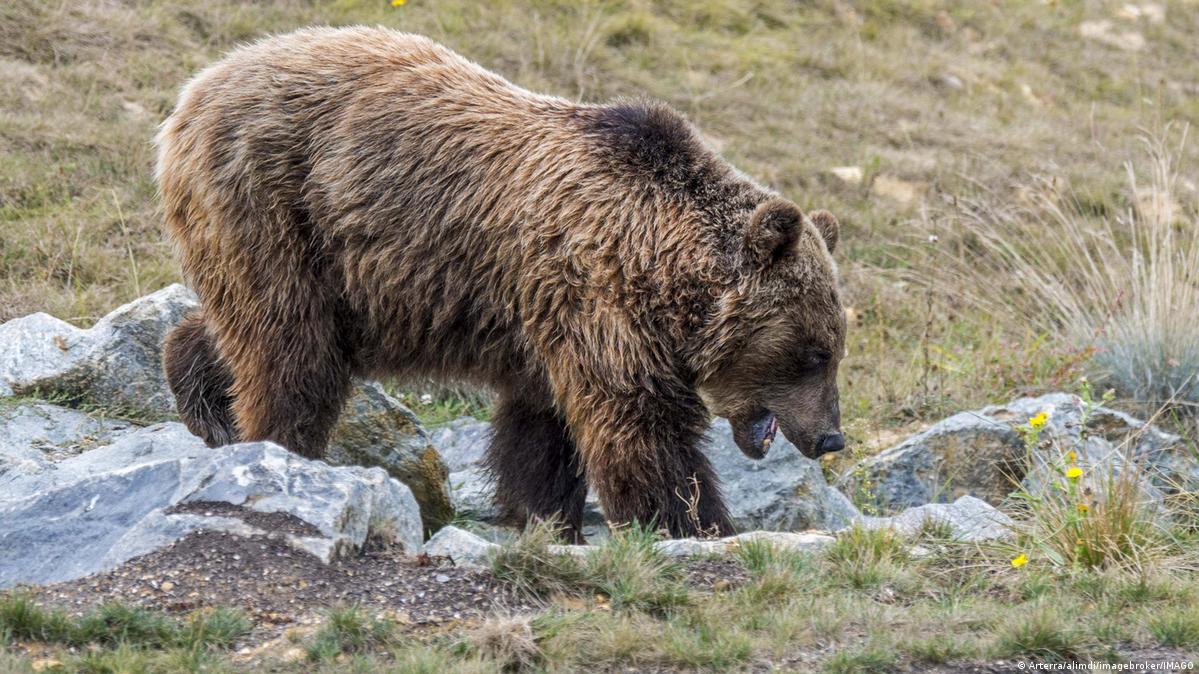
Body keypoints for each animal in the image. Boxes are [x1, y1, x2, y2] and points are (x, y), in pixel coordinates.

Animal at [158, 26, 846, 541]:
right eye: (814, 353)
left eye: (834, 350)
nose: (830, 436)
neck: (660, 264)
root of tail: (195, 89)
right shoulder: (595, 298)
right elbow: (641, 425)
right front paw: (695, 522)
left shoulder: (545, 318)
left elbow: (542, 430)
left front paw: (547, 518)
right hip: (274, 203)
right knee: (291, 347)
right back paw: (278, 446)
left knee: (250, 328)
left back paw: (204, 398)